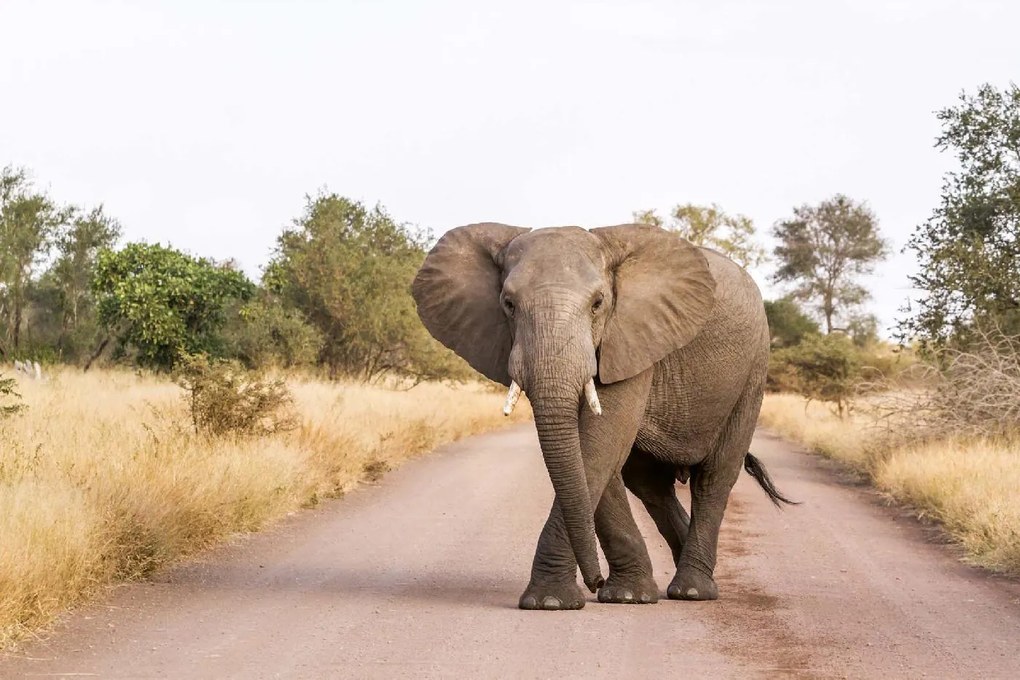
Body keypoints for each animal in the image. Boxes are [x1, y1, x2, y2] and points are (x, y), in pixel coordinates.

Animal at [410, 223, 791, 611]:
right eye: (508, 305)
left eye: (597, 304)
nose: (595, 581)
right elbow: (595, 455)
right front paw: (626, 596)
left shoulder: (633, 336)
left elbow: (600, 442)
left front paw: (551, 601)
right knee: (650, 486)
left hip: (753, 372)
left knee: (714, 478)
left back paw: (693, 591)